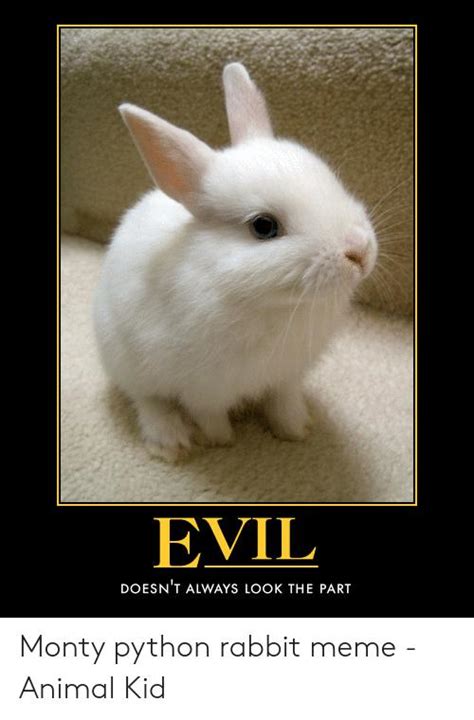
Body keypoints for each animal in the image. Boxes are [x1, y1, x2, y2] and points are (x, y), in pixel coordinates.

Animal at [94, 62, 377, 462]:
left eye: (329, 178)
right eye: (264, 226)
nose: (360, 251)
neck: (272, 306)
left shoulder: (286, 376)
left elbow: (283, 403)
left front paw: (297, 431)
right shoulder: (203, 388)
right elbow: (208, 415)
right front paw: (220, 441)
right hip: (125, 360)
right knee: (146, 400)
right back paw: (171, 443)